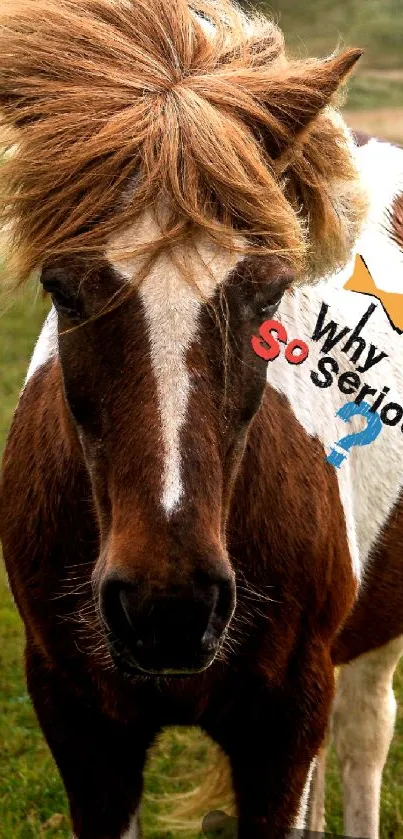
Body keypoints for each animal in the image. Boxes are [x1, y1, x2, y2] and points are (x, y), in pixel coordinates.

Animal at [0, 1, 401, 837]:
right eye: (62, 289)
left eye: (267, 292)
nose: (168, 606)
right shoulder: (80, 725)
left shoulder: (282, 727)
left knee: (363, 736)